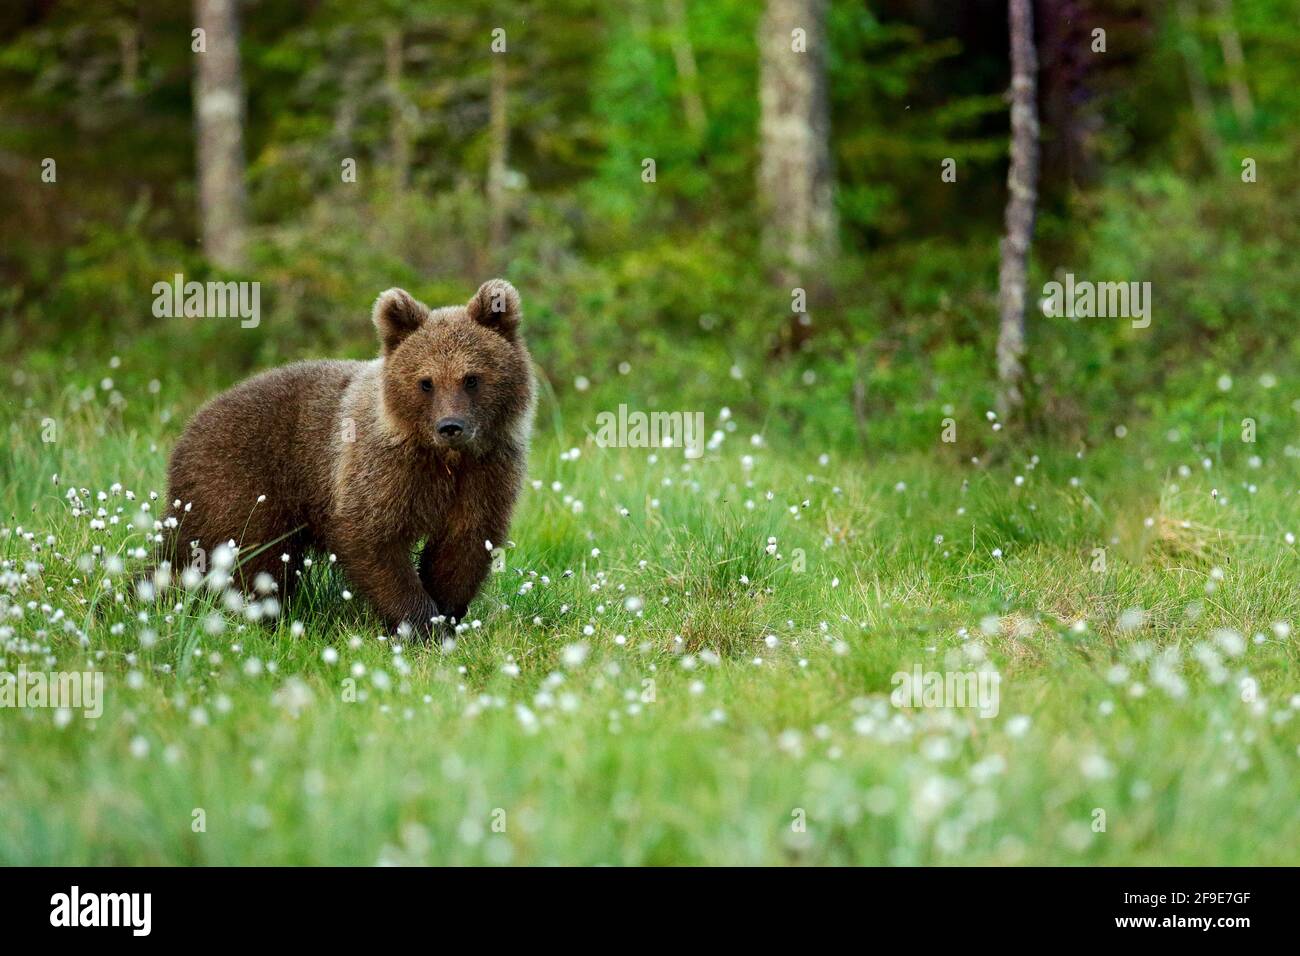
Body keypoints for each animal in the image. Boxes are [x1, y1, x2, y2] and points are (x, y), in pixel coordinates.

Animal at [162, 279, 535, 637]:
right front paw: (420, 622)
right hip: (242, 481)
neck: (446, 459)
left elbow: (463, 545)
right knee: (249, 558)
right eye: (426, 382)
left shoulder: (485, 473)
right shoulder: (382, 469)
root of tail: (189, 427)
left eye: (471, 378)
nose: (450, 426)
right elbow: (371, 537)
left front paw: (446, 616)